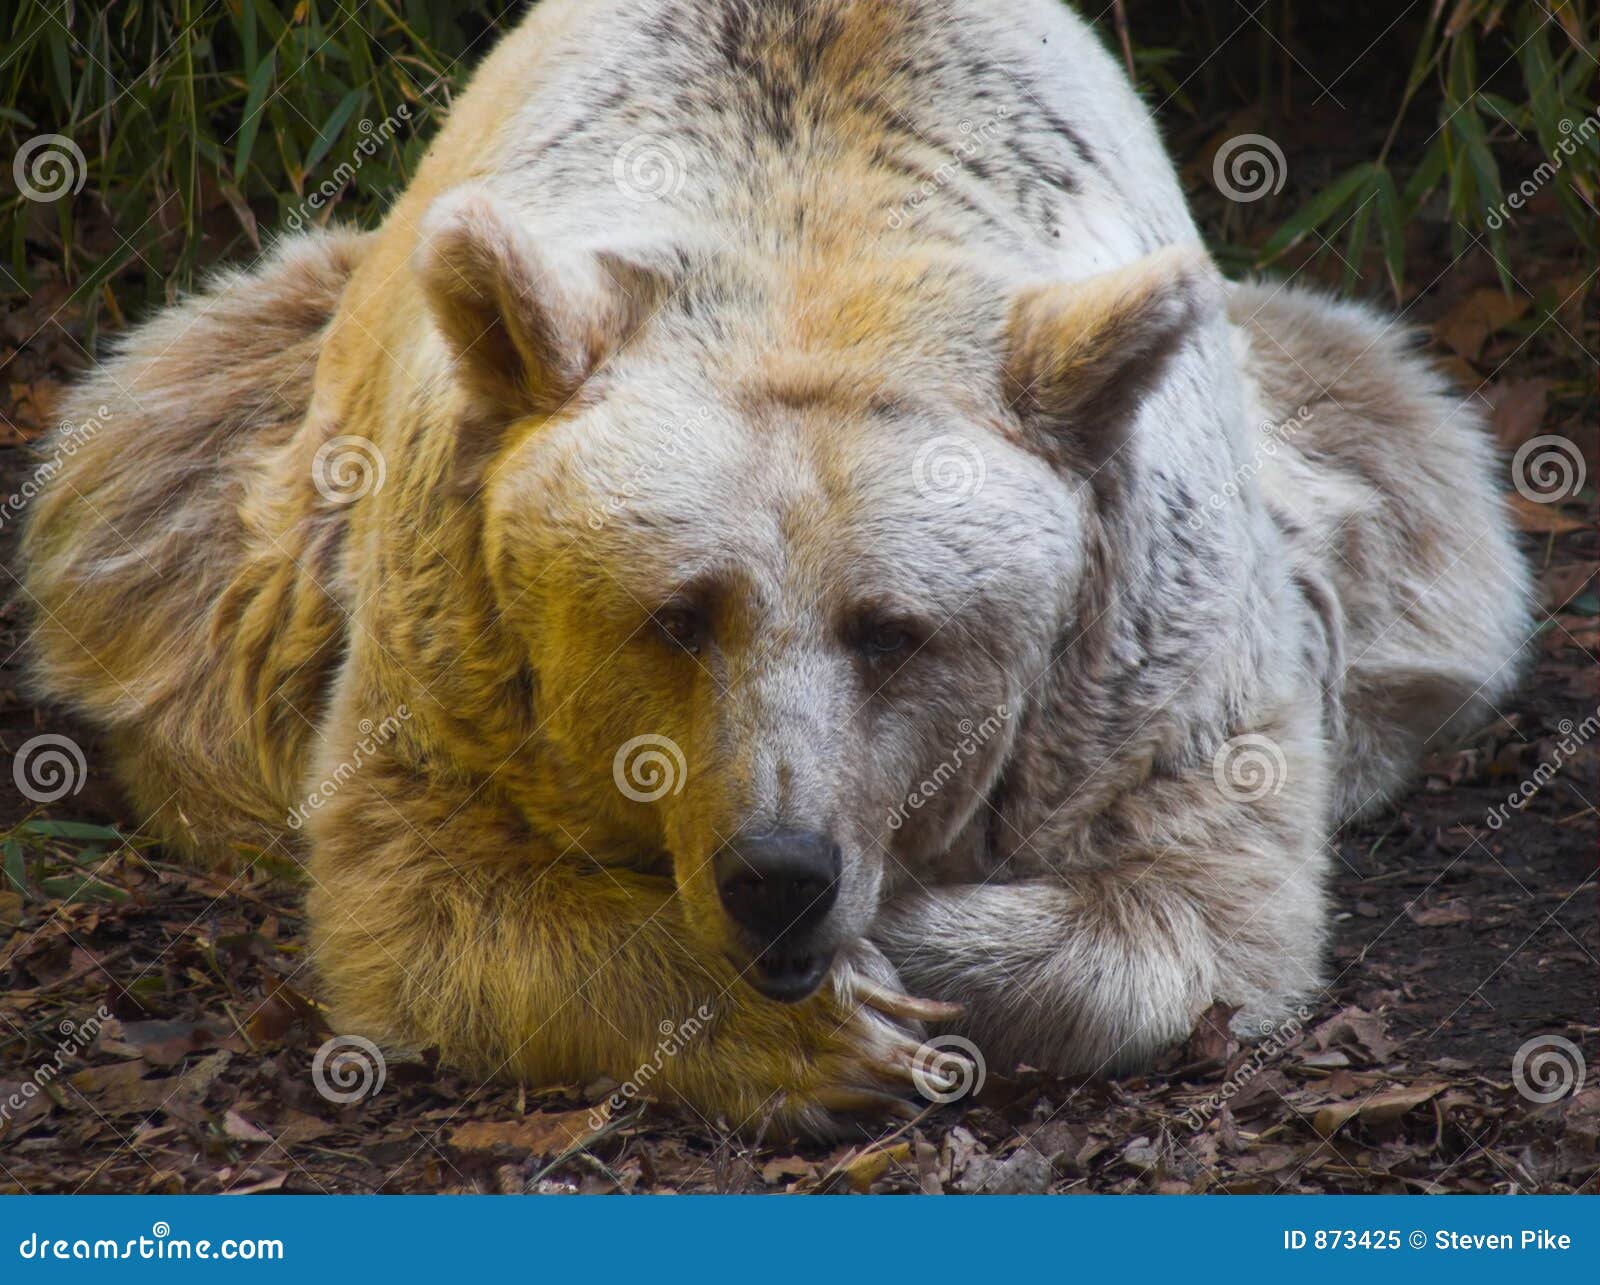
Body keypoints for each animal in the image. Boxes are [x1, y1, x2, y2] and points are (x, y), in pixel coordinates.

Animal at [18, 0, 1531, 1135]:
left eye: (893, 629)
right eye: (676, 617)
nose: (780, 871)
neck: (818, 234)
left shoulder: (1144, 661)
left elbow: (1200, 902)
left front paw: (912, 974)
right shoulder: (454, 640)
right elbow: (423, 889)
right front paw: (813, 1031)